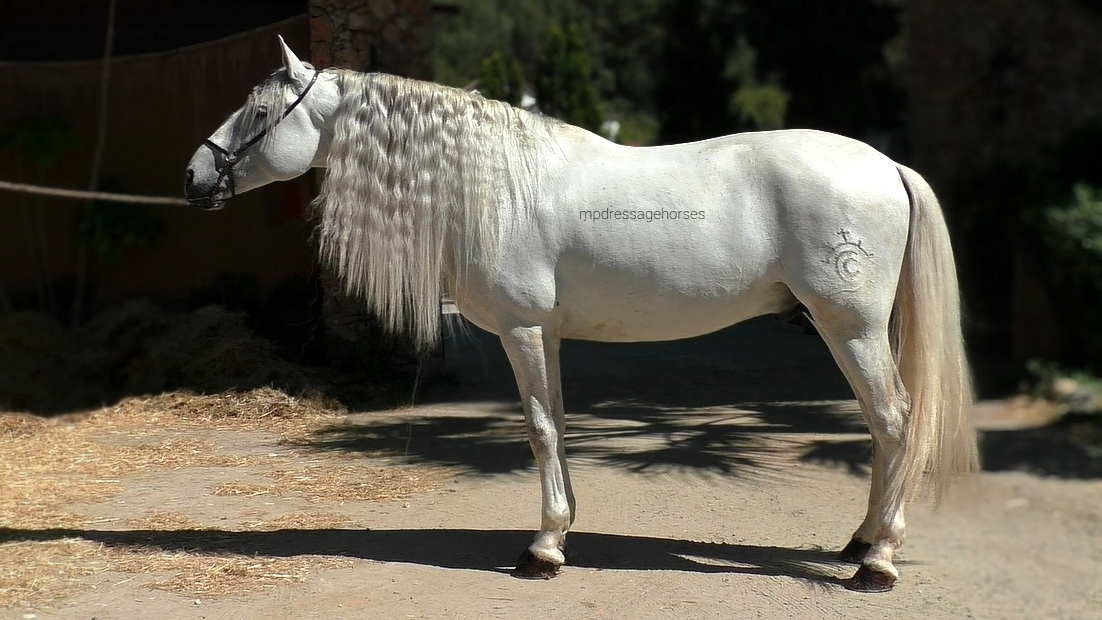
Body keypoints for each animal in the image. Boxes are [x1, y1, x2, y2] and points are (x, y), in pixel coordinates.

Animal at [185, 37, 978, 592]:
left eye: (261, 113)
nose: (194, 176)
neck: (490, 187)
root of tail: (885, 165)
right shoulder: (551, 335)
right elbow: (560, 426)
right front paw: (565, 530)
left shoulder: (523, 330)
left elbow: (538, 431)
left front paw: (542, 550)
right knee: (883, 427)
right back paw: (861, 540)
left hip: (850, 328)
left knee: (895, 421)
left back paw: (878, 562)